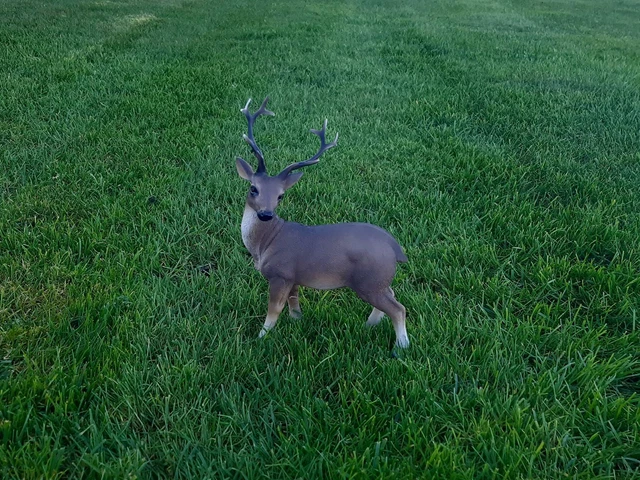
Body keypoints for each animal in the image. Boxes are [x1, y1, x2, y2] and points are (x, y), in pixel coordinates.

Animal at [235, 97, 410, 348]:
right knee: (392, 296)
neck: (265, 243)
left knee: (398, 308)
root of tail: (396, 248)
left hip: (369, 279)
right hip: (379, 279)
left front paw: (261, 337)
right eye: (253, 188)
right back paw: (369, 325)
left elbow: (274, 309)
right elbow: (294, 300)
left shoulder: (281, 273)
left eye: (281, 196)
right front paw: (297, 320)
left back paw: (401, 347)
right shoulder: (294, 276)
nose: (266, 214)